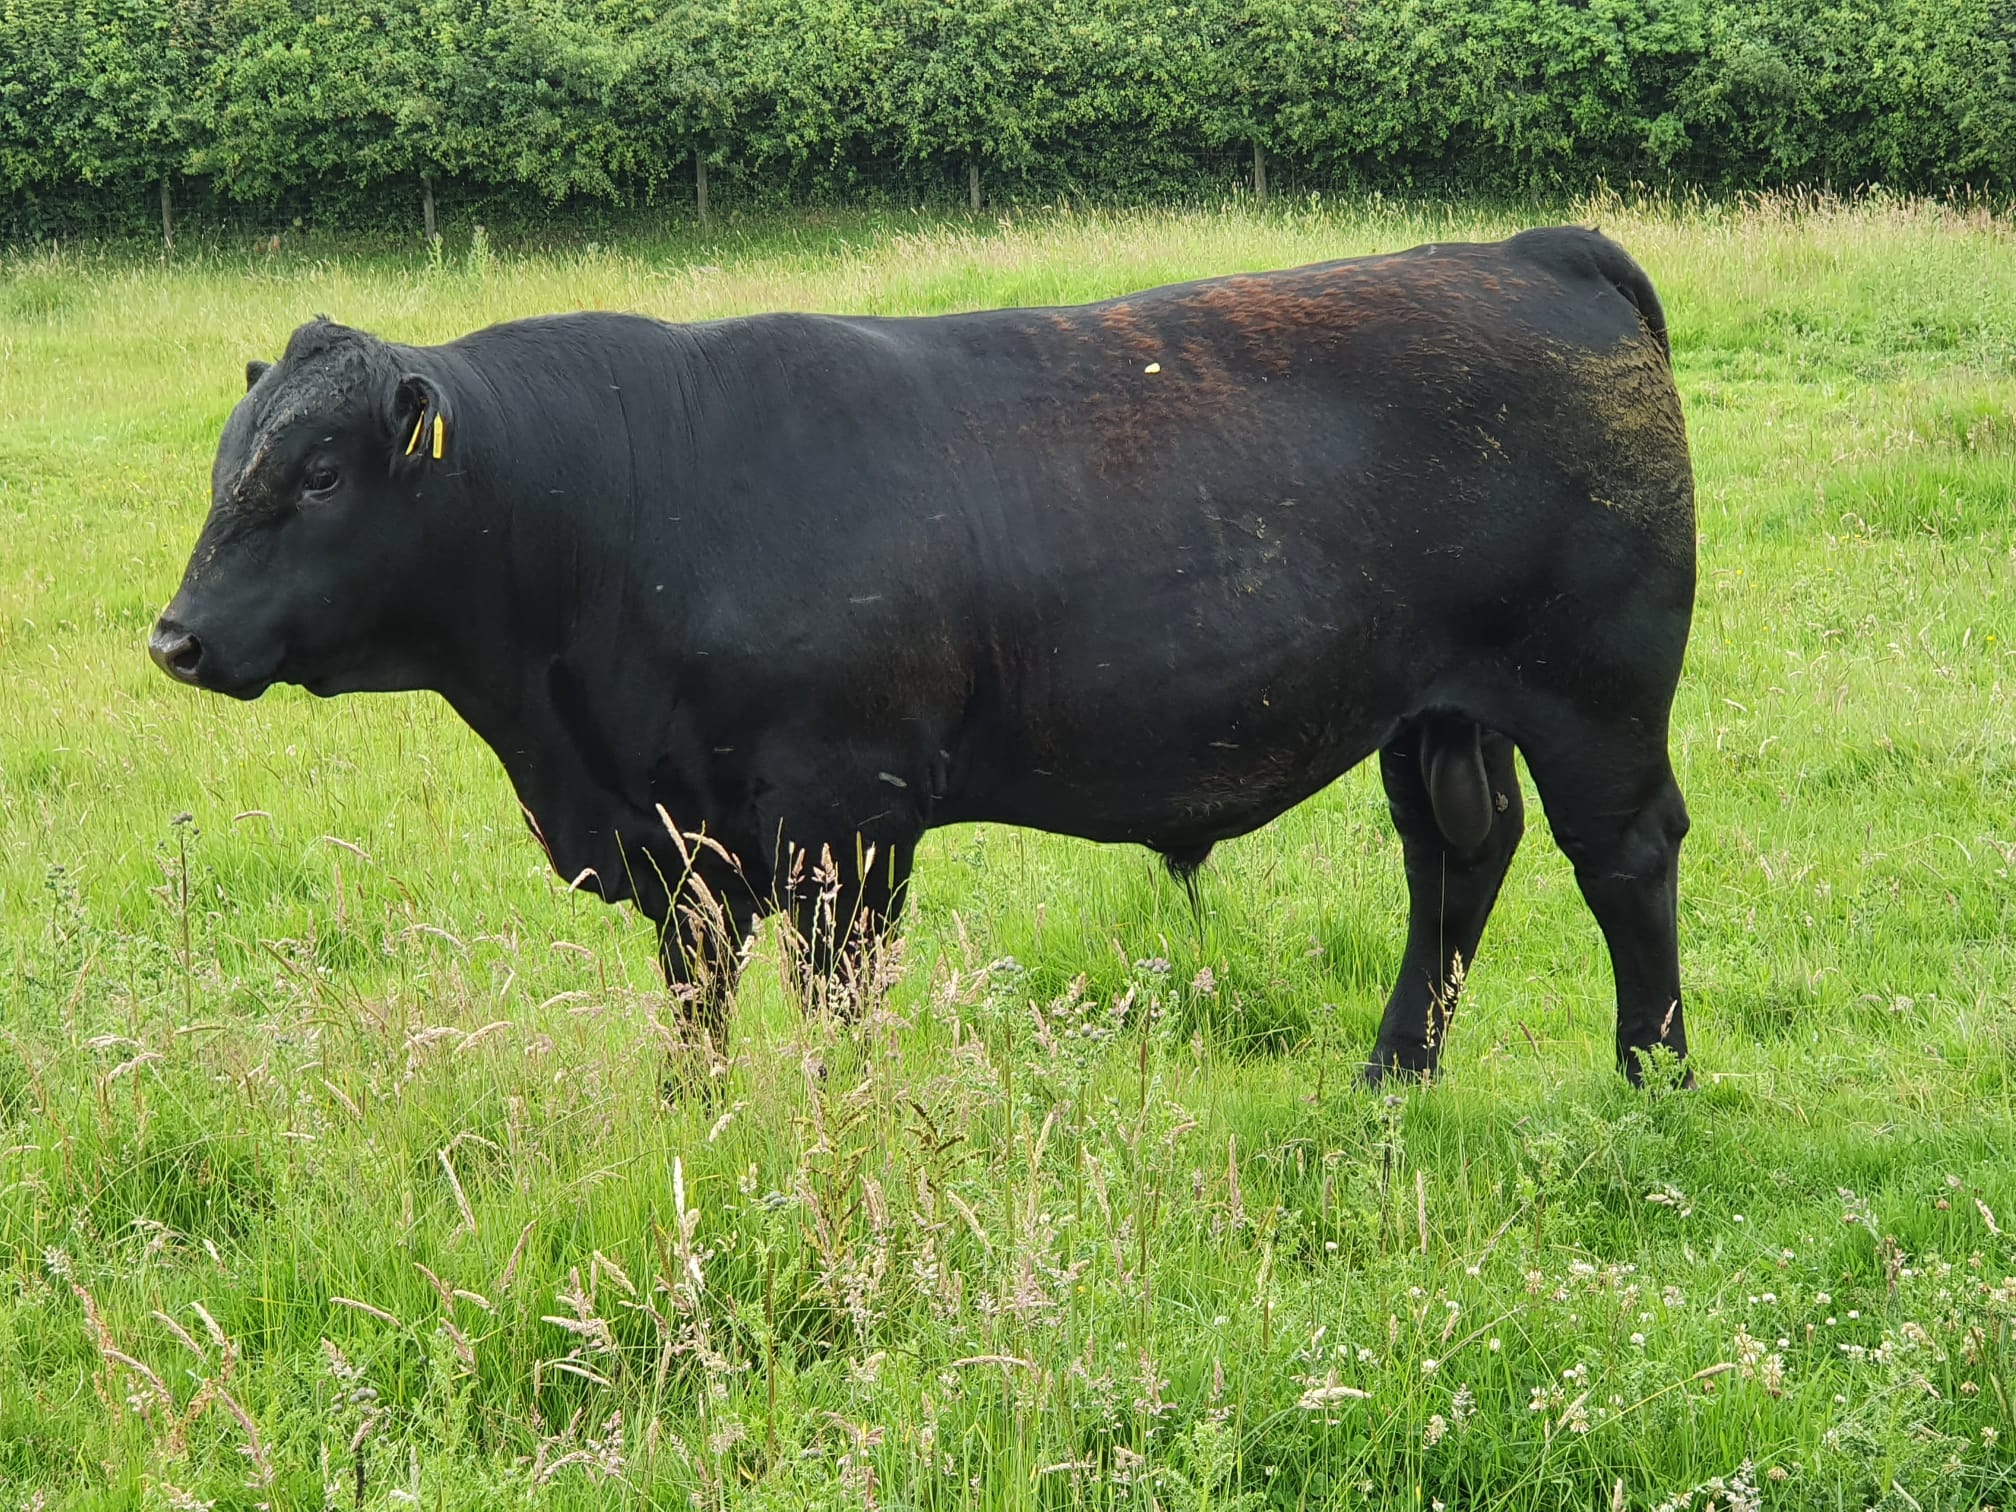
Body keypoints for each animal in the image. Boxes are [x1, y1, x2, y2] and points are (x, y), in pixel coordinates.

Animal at [150, 225, 1697, 1085]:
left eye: (320, 476)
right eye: (228, 465)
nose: (175, 636)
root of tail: (1529, 251)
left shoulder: (847, 818)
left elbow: (836, 1007)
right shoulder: (685, 849)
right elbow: (696, 1008)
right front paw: (695, 1127)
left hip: (1595, 694)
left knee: (1623, 857)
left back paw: (1651, 1075)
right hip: (1434, 712)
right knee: (1456, 859)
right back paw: (1395, 1072)